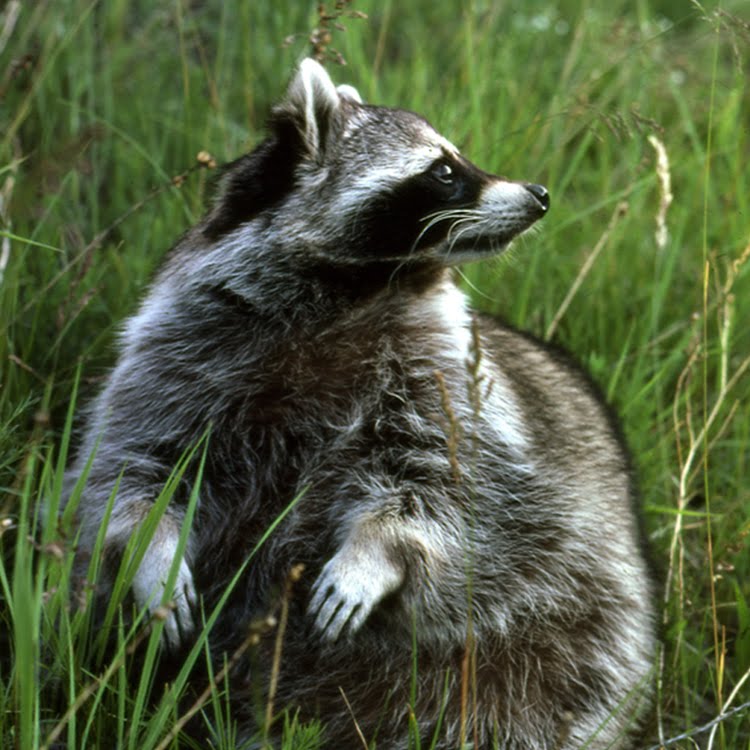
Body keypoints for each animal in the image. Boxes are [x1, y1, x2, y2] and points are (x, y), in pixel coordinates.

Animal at [64, 59, 656, 749]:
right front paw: (152, 552)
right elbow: (131, 467)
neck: (344, 290)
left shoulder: (442, 374)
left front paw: (377, 552)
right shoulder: (177, 349)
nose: (539, 194)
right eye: (444, 170)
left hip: (580, 629)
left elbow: (439, 482)